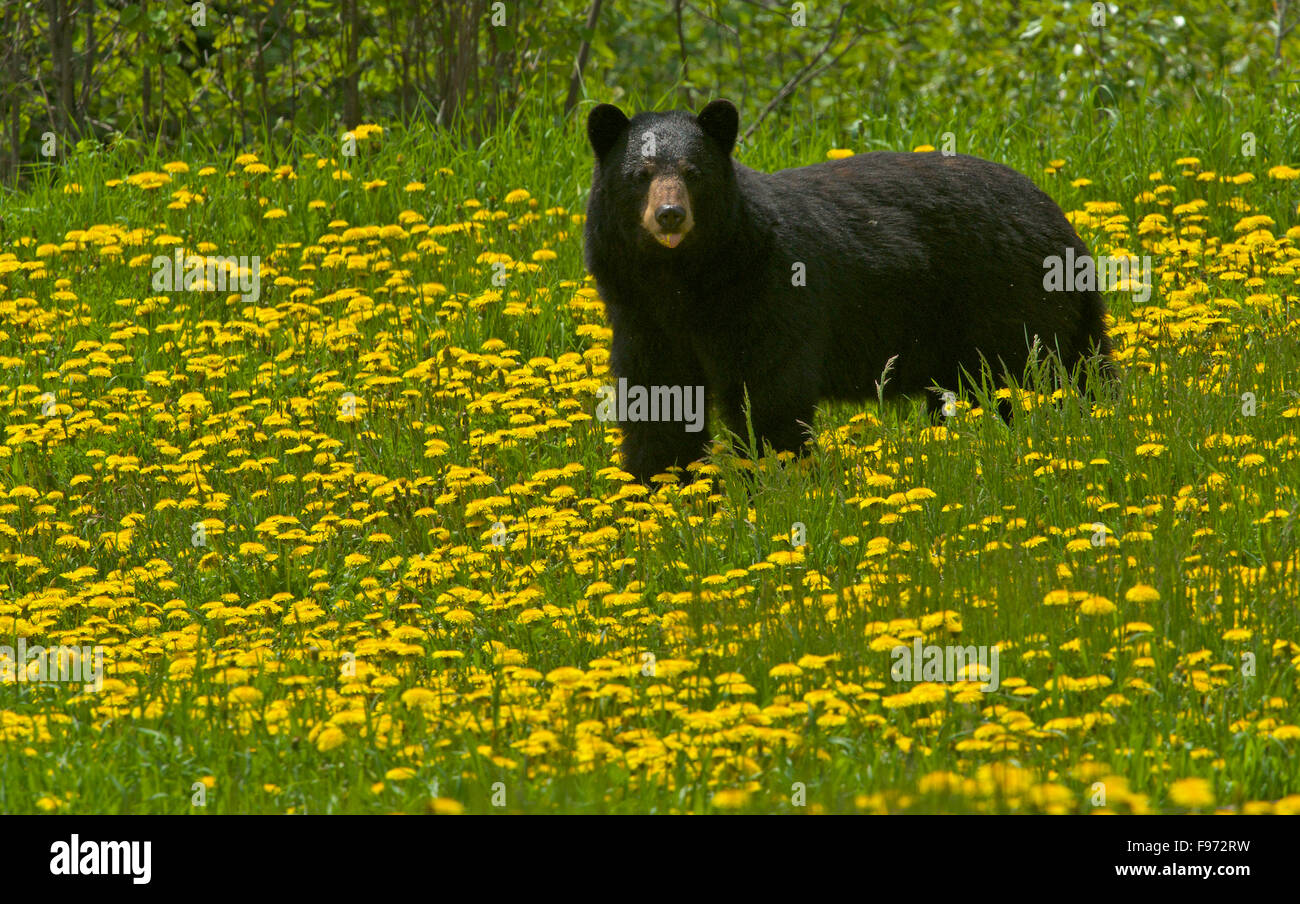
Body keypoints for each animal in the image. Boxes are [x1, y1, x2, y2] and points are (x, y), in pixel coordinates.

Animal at [583, 99, 1113, 483]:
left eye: (694, 173)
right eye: (640, 175)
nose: (670, 215)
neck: (683, 280)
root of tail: (1064, 227)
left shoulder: (765, 294)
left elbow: (768, 394)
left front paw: (772, 487)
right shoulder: (640, 314)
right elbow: (658, 400)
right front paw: (661, 490)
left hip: (1008, 302)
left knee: (1033, 382)